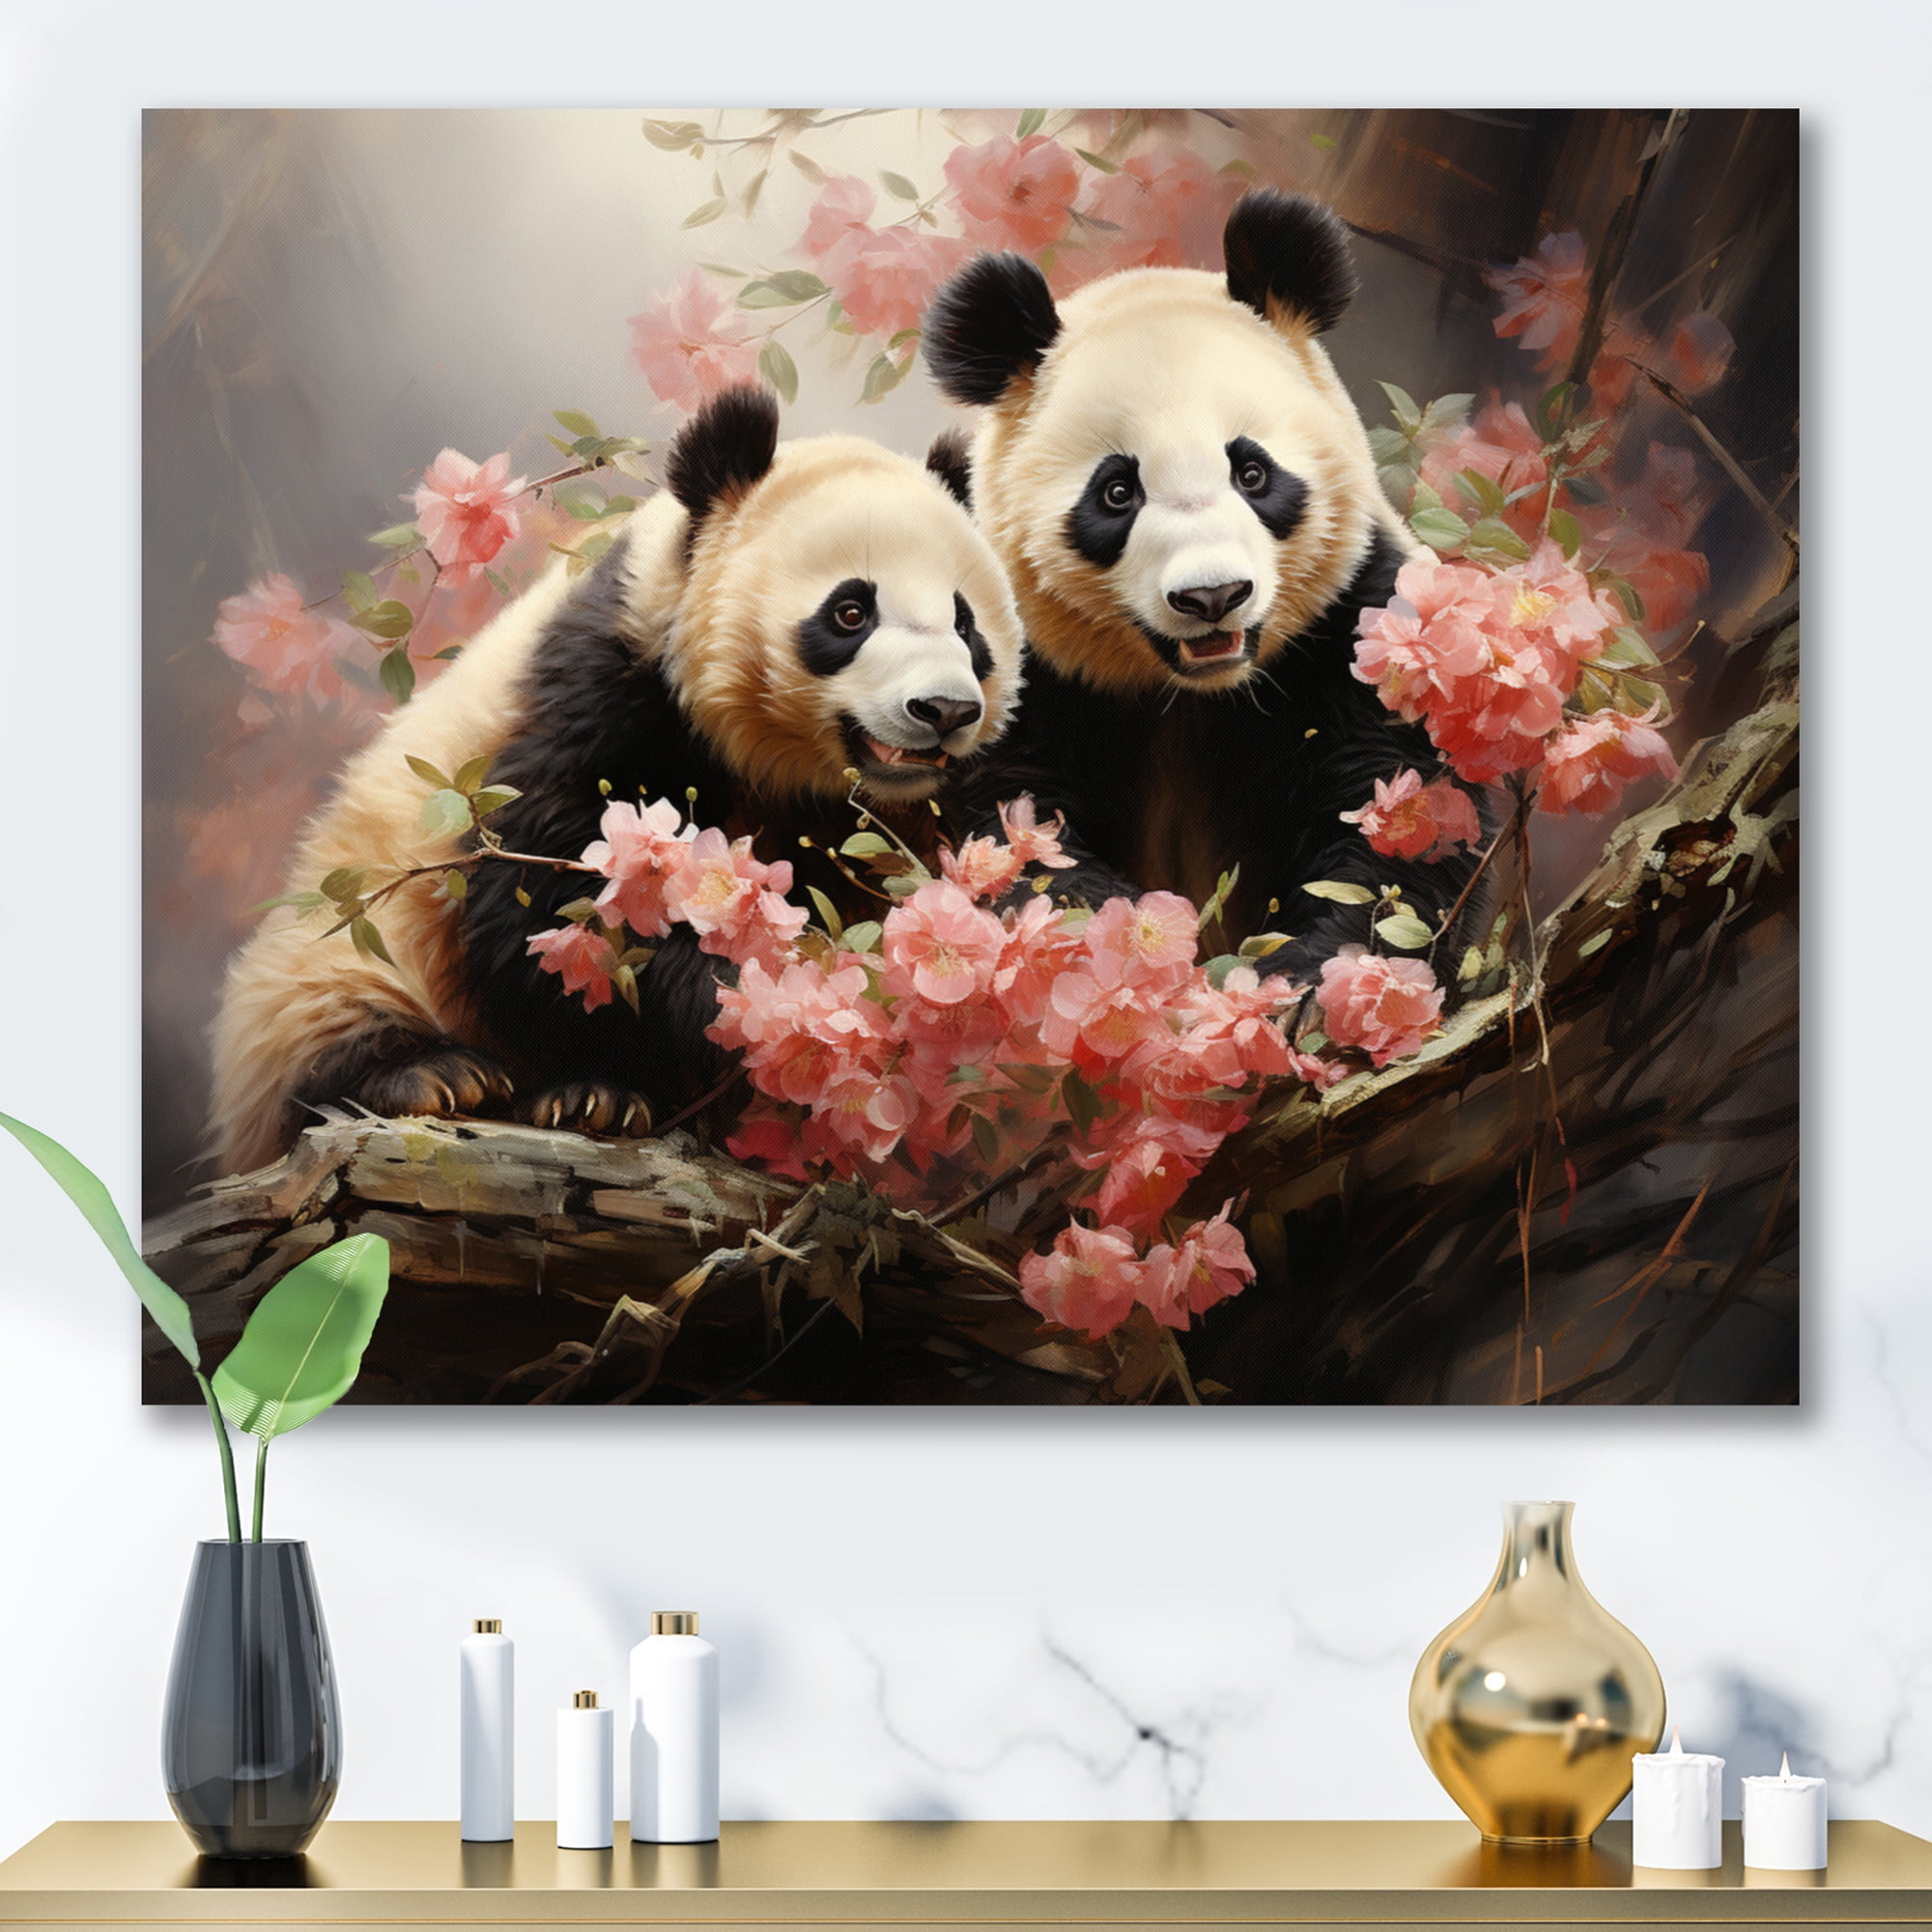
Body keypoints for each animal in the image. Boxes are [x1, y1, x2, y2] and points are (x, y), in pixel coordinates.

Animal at [208, 387, 1023, 1175]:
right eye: (851, 611)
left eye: (966, 623)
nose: (945, 710)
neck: (783, 763)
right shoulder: (603, 688)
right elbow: (549, 900)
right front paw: (741, 991)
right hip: (351, 924)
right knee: (310, 1018)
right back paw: (453, 1078)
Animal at [923, 189, 1490, 982]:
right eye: (1117, 492)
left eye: (1251, 472)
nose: (1212, 596)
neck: (1197, 696)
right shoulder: (1012, 667)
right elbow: (1019, 832)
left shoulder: (1357, 626)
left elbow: (1404, 819)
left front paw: (1311, 981)